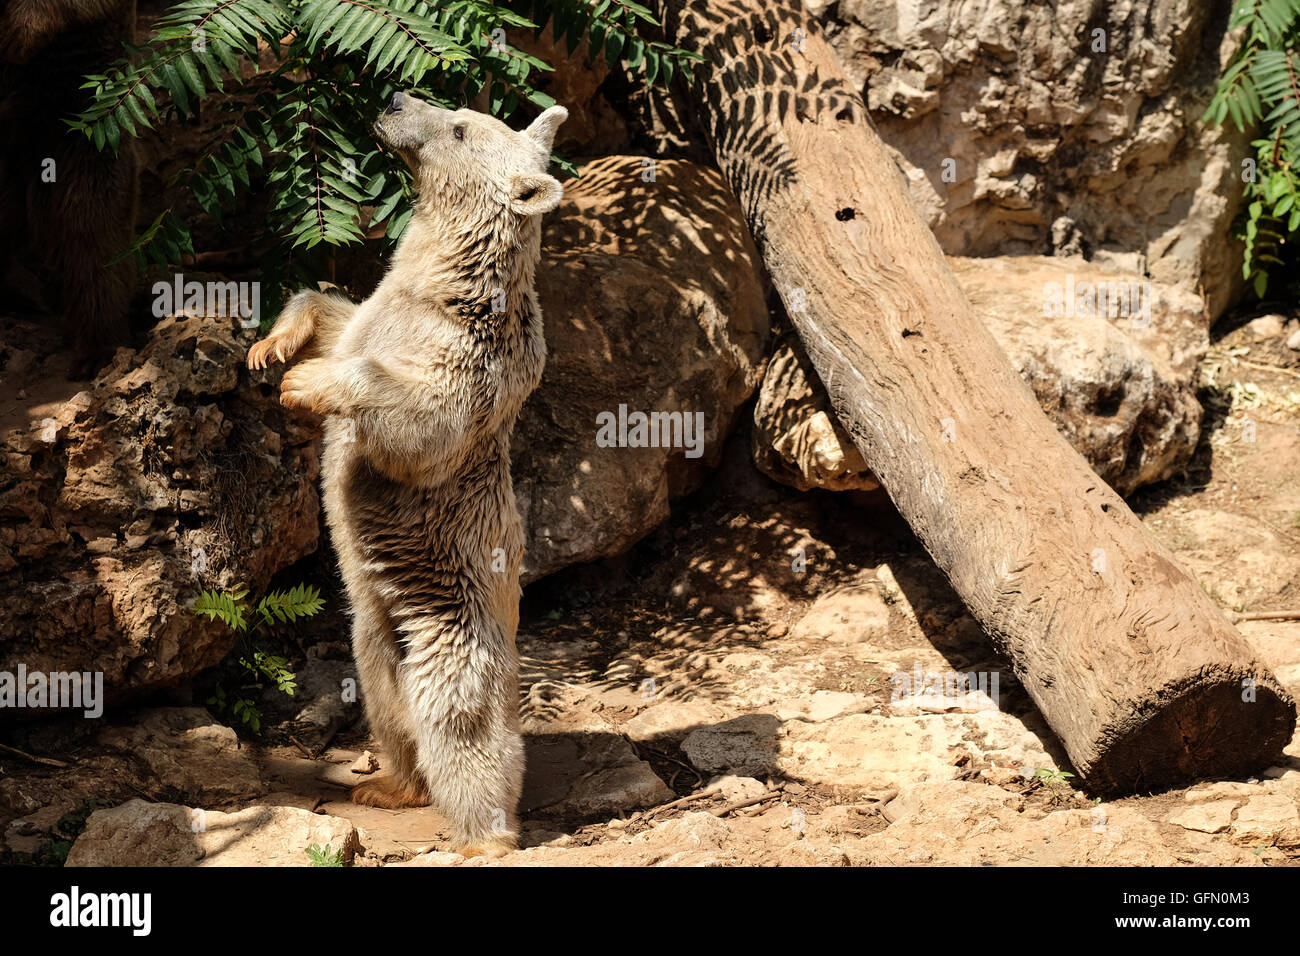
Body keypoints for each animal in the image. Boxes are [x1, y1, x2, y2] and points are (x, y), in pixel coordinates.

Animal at [247, 92, 567, 856]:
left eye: (459, 125)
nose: (393, 99)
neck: (448, 278)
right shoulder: (386, 305)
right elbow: (336, 314)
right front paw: (272, 348)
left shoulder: (468, 357)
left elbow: (420, 419)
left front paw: (305, 385)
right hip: (376, 617)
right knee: (382, 692)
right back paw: (388, 785)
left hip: (454, 611)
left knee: (460, 715)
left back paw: (486, 834)